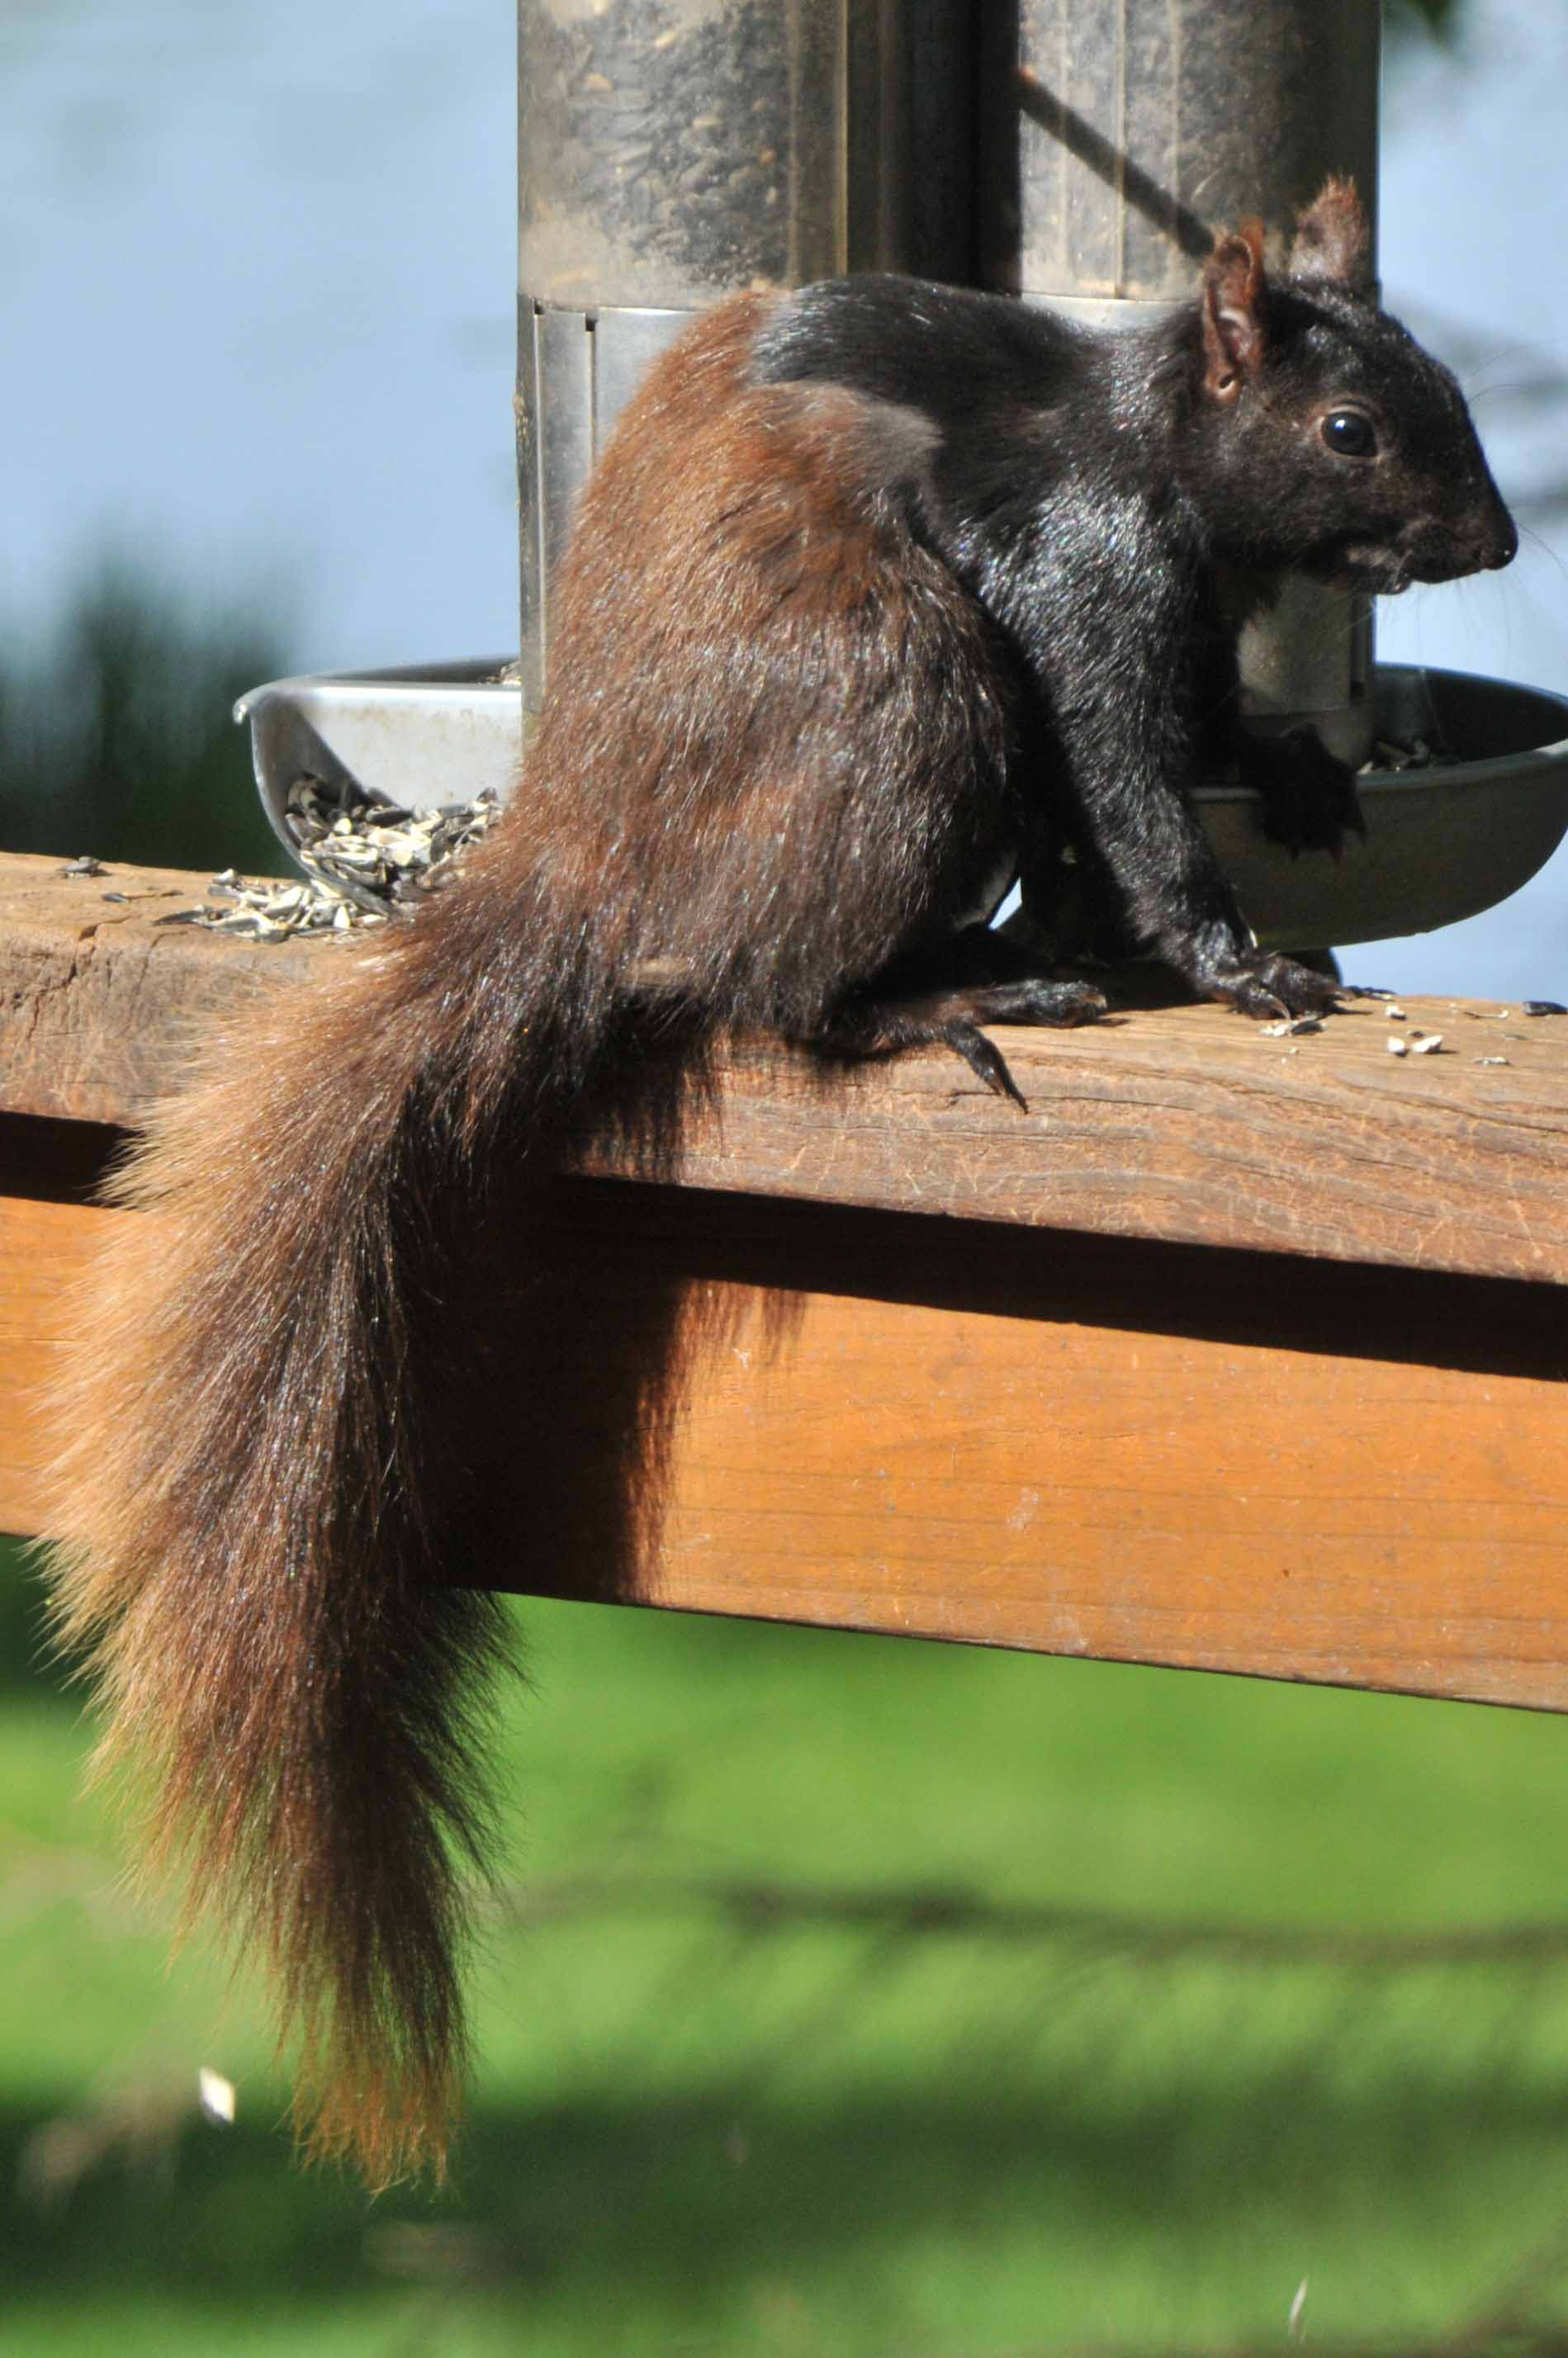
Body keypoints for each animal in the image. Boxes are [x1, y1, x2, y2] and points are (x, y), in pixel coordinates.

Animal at [44, 178, 1515, 2184]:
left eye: (1433, 377)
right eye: (1350, 429)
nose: (1492, 536)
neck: (1148, 449)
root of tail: (592, 845)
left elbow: (1206, 729)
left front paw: (1292, 771)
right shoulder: (1083, 572)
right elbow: (1131, 783)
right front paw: (1241, 963)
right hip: (896, 698)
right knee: (772, 986)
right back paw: (941, 996)